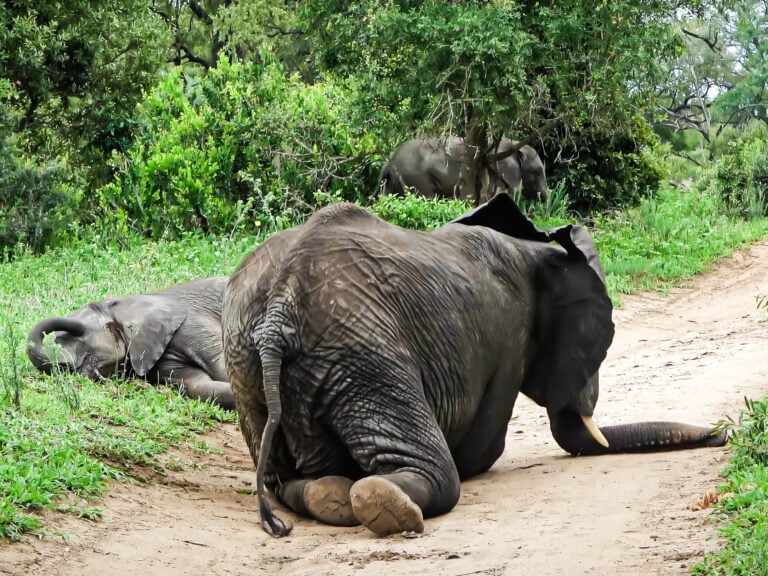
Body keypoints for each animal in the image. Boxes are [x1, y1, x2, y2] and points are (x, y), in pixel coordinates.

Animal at [222, 193, 726, 538]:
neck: (533, 249)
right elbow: (484, 448)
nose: (721, 433)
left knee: (285, 477)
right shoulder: (510, 338)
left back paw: (329, 496)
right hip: (364, 357)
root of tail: (280, 308)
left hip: (249, 363)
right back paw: (382, 501)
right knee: (440, 473)